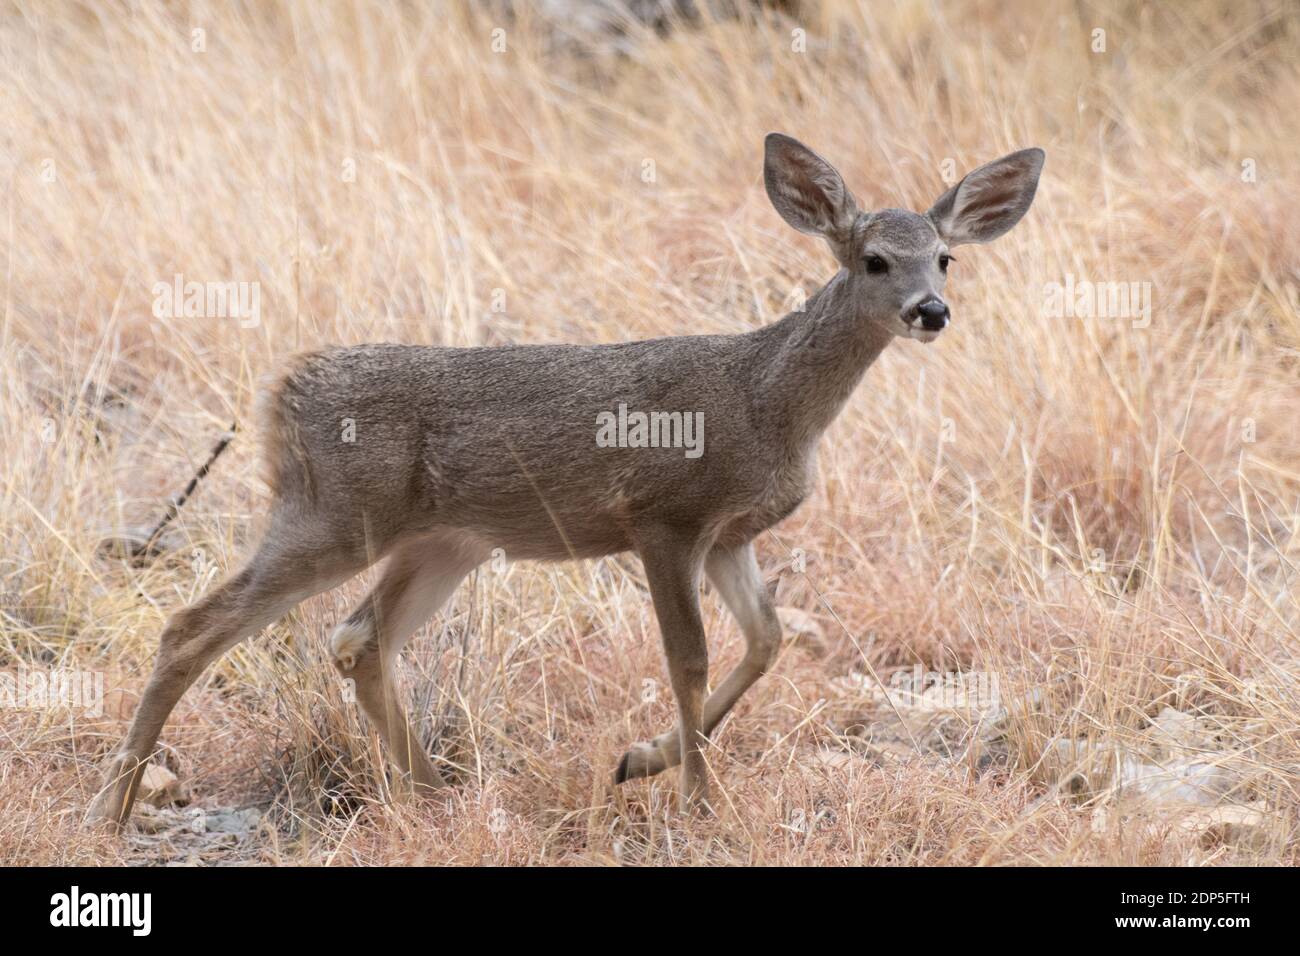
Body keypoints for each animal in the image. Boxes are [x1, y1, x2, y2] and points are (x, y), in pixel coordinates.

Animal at [87, 134, 1044, 827]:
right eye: (875, 259)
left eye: (946, 258)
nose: (932, 311)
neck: (764, 397)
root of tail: (280, 387)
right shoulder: (663, 516)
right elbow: (690, 657)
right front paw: (700, 801)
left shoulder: (730, 533)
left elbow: (768, 641)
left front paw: (643, 760)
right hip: (331, 516)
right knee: (190, 627)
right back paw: (113, 804)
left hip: (445, 541)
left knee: (357, 639)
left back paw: (433, 793)